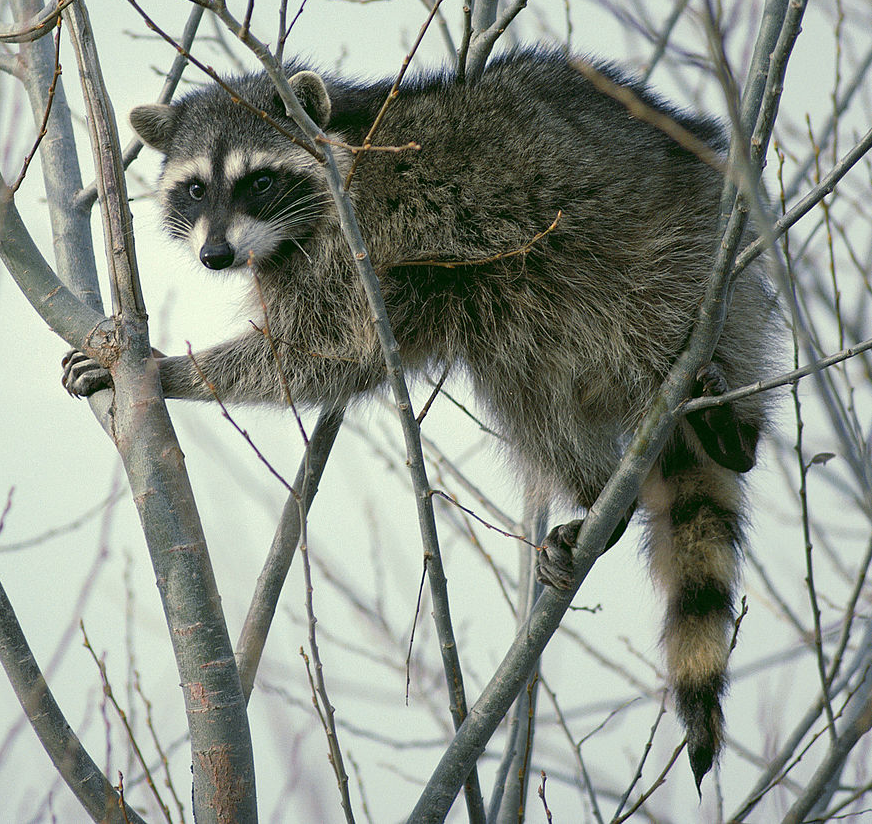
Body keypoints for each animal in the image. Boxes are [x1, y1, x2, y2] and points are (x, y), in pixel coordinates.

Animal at [63, 49, 781, 787]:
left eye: (258, 181)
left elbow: (323, 350)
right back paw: (599, 492)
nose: (215, 256)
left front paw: (168, 369)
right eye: (196, 189)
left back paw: (731, 427)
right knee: (525, 385)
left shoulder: (359, 240)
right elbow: (333, 360)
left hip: (673, 253)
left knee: (645, 323)